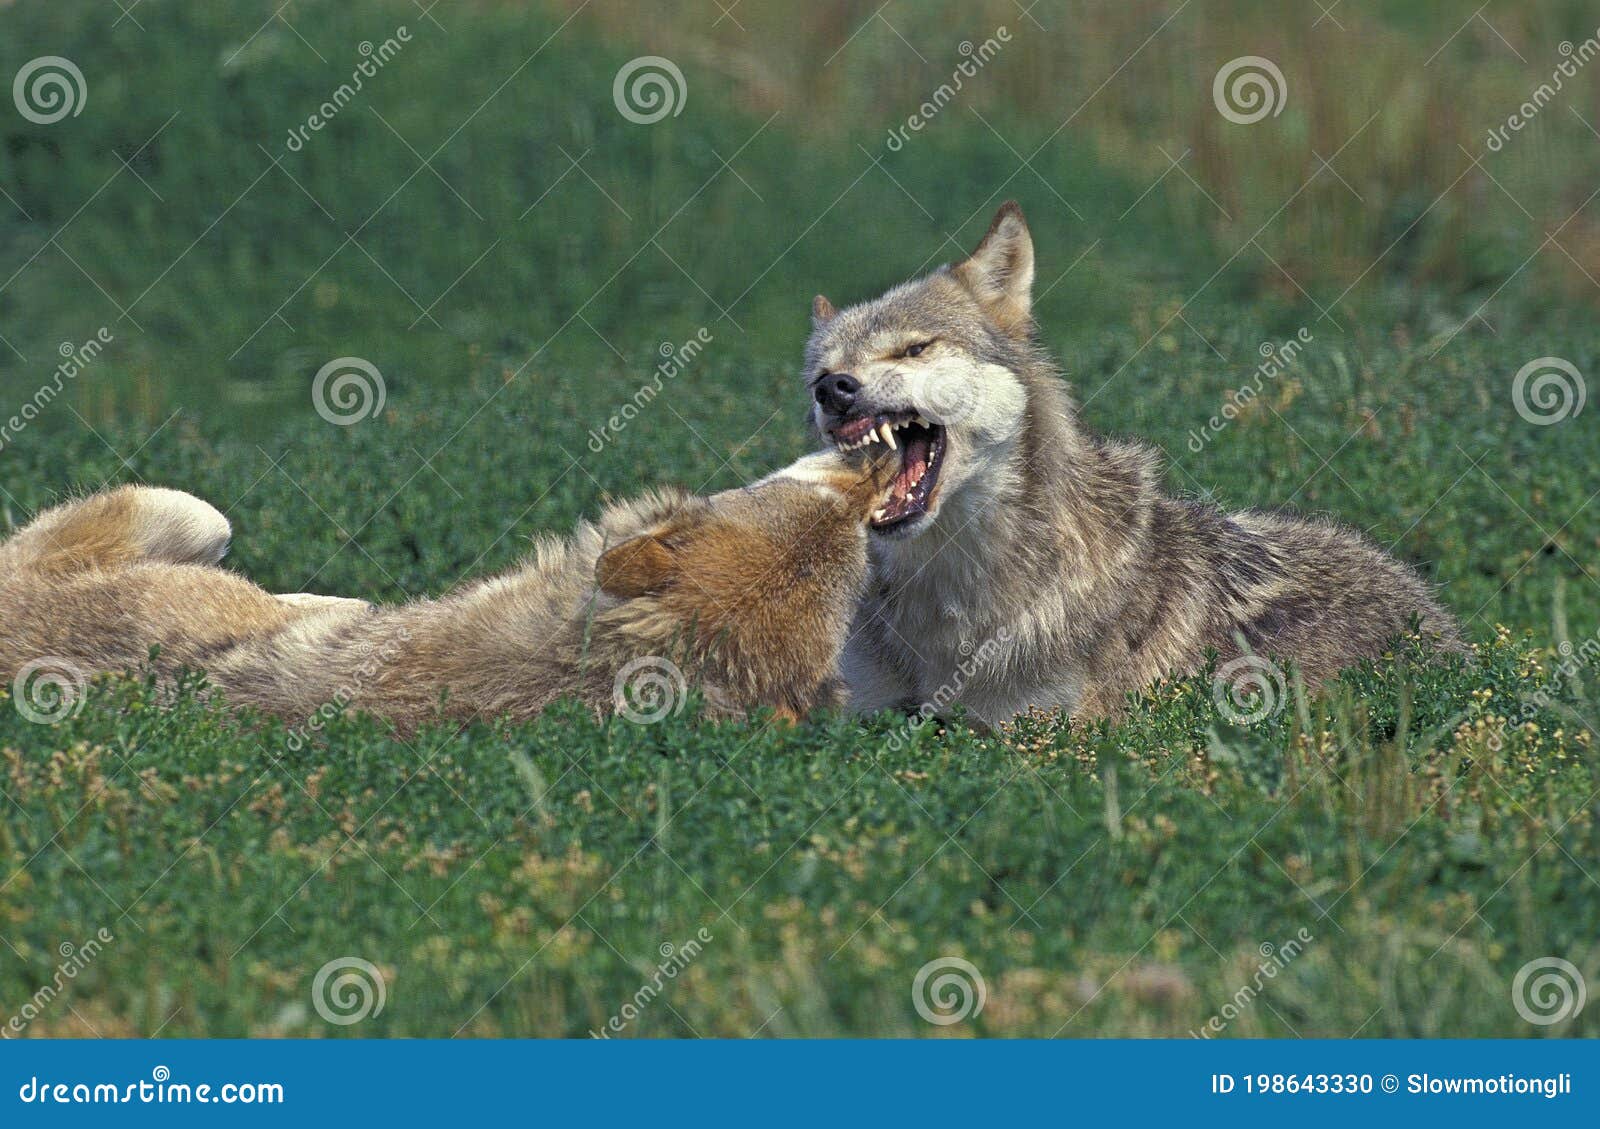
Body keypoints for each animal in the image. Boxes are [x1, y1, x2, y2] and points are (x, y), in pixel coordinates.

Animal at [805, 201, 1461, 723]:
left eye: (914, 348)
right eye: (819, 373)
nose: (834, 389)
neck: (949, 598)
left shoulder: (1038, 734)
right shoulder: (858, 717)